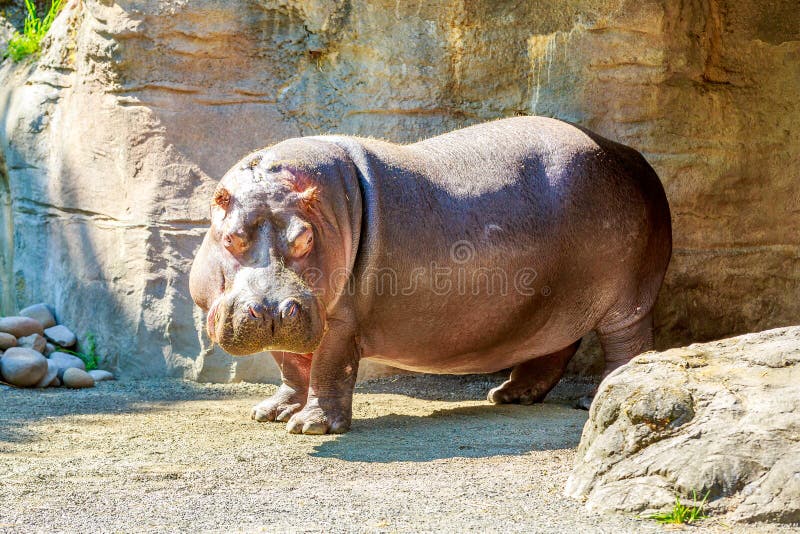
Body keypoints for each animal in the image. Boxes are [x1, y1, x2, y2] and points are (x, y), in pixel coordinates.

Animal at [189, 116, 672, 434]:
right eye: (230, 236)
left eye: (306, 238)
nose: (272, 310)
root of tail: (629, 154)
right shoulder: (299, 318)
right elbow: (290, 365)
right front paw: (272, 412)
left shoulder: (341, 320)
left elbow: (329, 369)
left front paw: (311, 426)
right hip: (552, 302)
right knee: (555, 346)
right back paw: (508, 395)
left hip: (627, 300)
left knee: (627, 343)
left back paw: (597, 398)